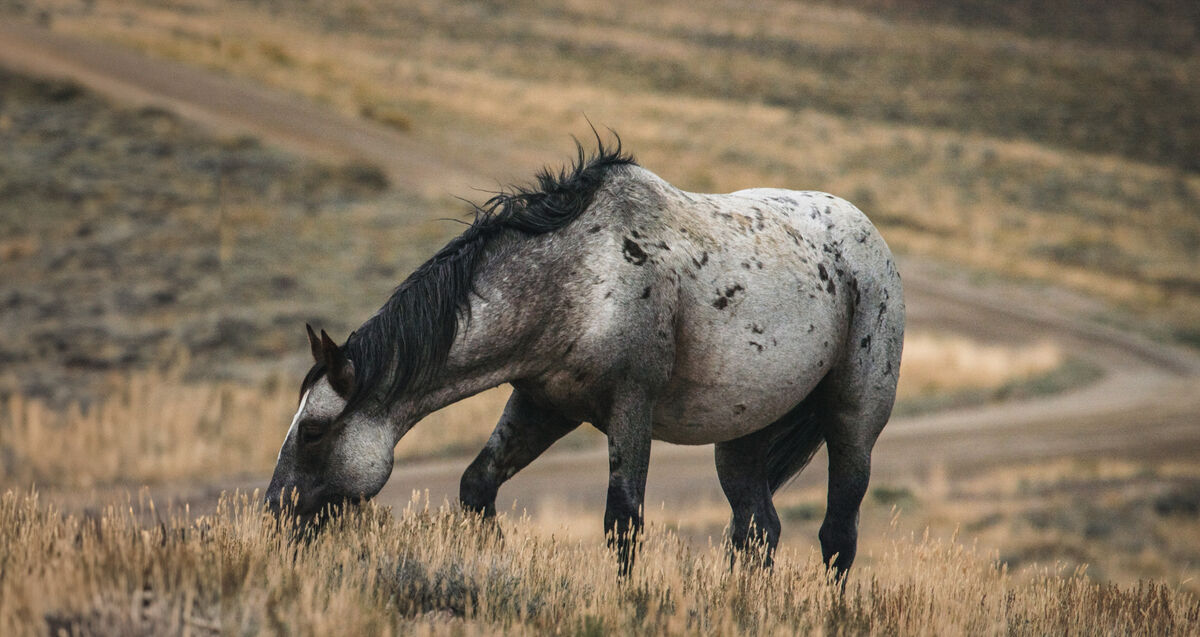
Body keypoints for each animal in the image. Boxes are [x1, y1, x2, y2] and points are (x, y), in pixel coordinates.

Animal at [266, 138, 905, 576]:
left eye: (314, 431)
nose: (273, 511)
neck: (580, 278)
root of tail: (872, 241)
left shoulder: (631, 408)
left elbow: (622, 522)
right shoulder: (543, 405)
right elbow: (477, 487)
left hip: (854, 424)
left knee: (836, 537)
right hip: (742, 437)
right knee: (757, 532)